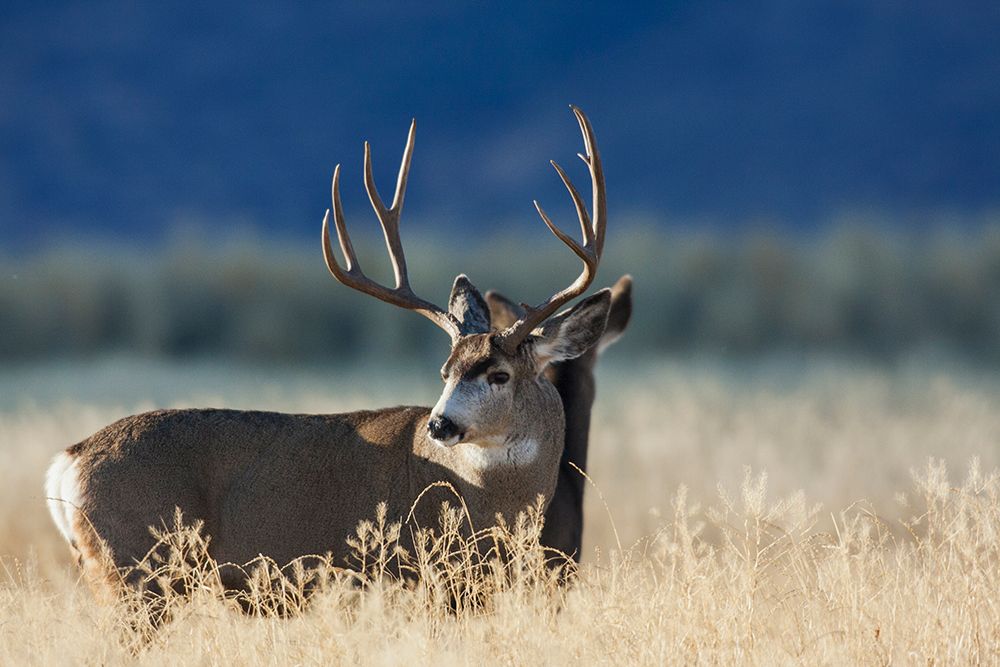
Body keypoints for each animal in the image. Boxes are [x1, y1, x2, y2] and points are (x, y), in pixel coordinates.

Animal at [45, 107, 612, 596]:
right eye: (445, 370)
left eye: (498, 374)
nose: (439, 424)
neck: (488, 500)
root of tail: (67, 461)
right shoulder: (410, 577)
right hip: (140, 569)